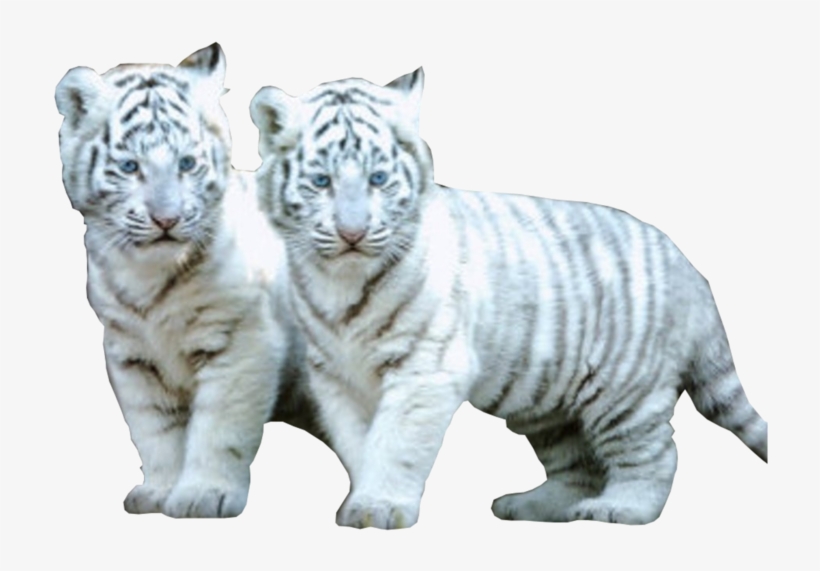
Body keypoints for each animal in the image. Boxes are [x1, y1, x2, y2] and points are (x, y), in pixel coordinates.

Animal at [55, 44, 303, 518]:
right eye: (129, 166)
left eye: (187, 164)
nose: (166, 220)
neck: (149, 276)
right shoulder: (130, 353)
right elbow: (154, 428)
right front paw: (159, 491)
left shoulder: (242, 339)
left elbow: (219, 425)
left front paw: (206, 495)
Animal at [250, 68, 768, 528]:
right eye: (321, 182)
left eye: (378, 179)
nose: (352, 234)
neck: (339, 282)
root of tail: (692, 269)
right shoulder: (336, 376)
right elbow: (358, 443)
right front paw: (361, 499)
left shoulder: (426, 368)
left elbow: (396, 442)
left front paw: (380, 507)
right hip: (550, 403)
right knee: (577, 466)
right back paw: (529, 506)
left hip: (626, 390)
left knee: (657, 453)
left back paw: (621, 509)